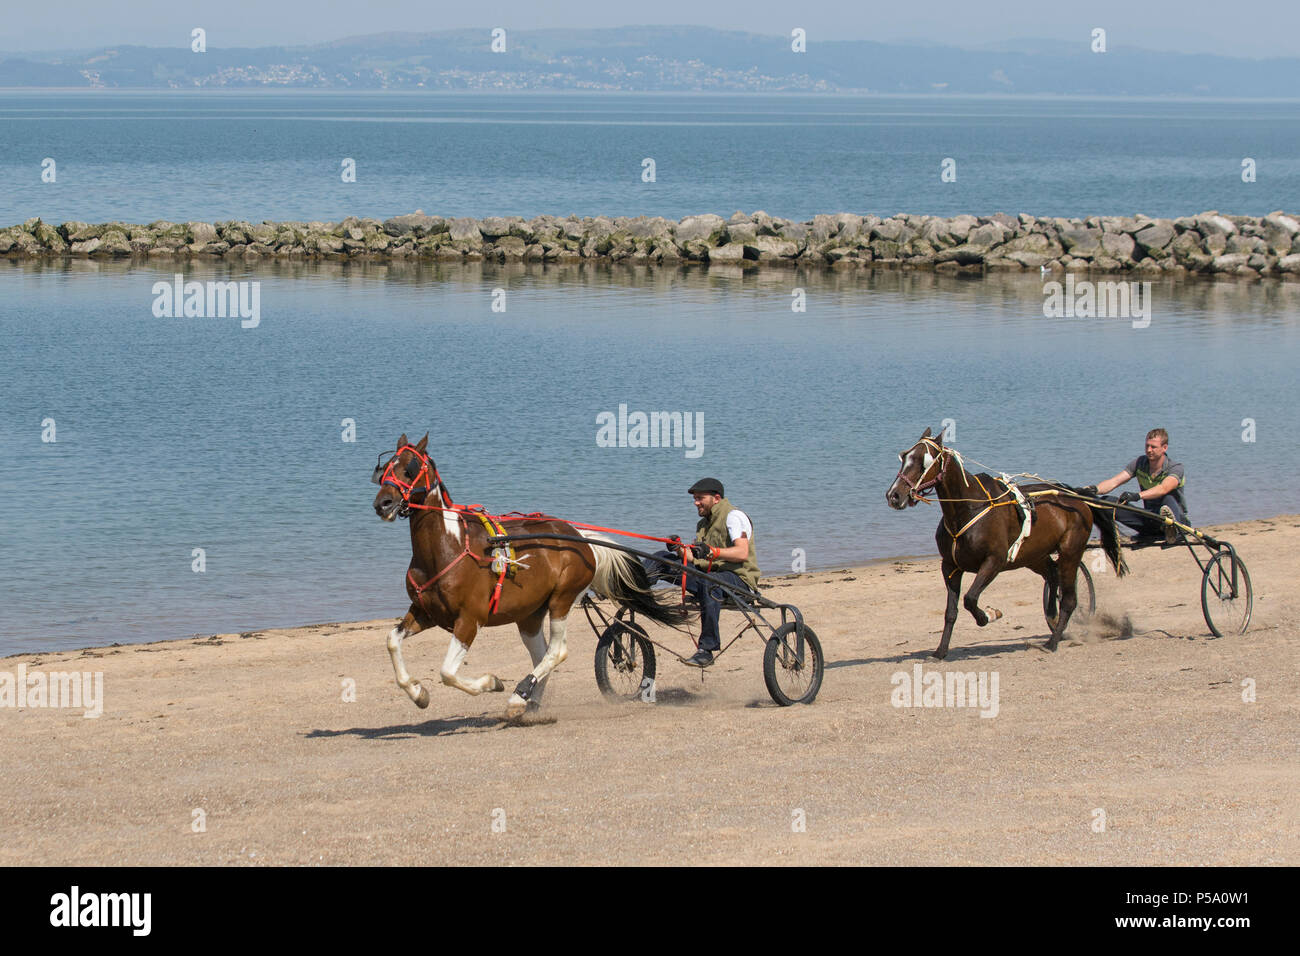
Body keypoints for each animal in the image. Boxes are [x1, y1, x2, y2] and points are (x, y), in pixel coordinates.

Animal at [371, 433, 690, 721]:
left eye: (410, 468)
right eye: (385, 467)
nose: (383, 503)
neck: (449, 548)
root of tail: (580, 537)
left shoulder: (469, 620)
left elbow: (447, 672)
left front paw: (492, 683)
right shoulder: (426, 612)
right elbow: (391, 640)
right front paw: (418, 693)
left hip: (562, 600)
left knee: (557, 652)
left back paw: (518, 697)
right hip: (529, 615)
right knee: (541, 655)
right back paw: (530, 701)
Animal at [885, 427, 1127, 659]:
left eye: (924, 461)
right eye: (904, 456)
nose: (894, 495)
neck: (968, 509)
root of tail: (1076, 496)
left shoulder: (994, 561)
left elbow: (970, 598)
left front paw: (988, 615)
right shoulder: (950, 566)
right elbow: (951, 612)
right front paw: (940, 651)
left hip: (1070, 551)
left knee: (1069, 599)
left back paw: (1052, 642)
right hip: (1033, 555)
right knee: (1052, 574)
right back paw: (1052, 616)